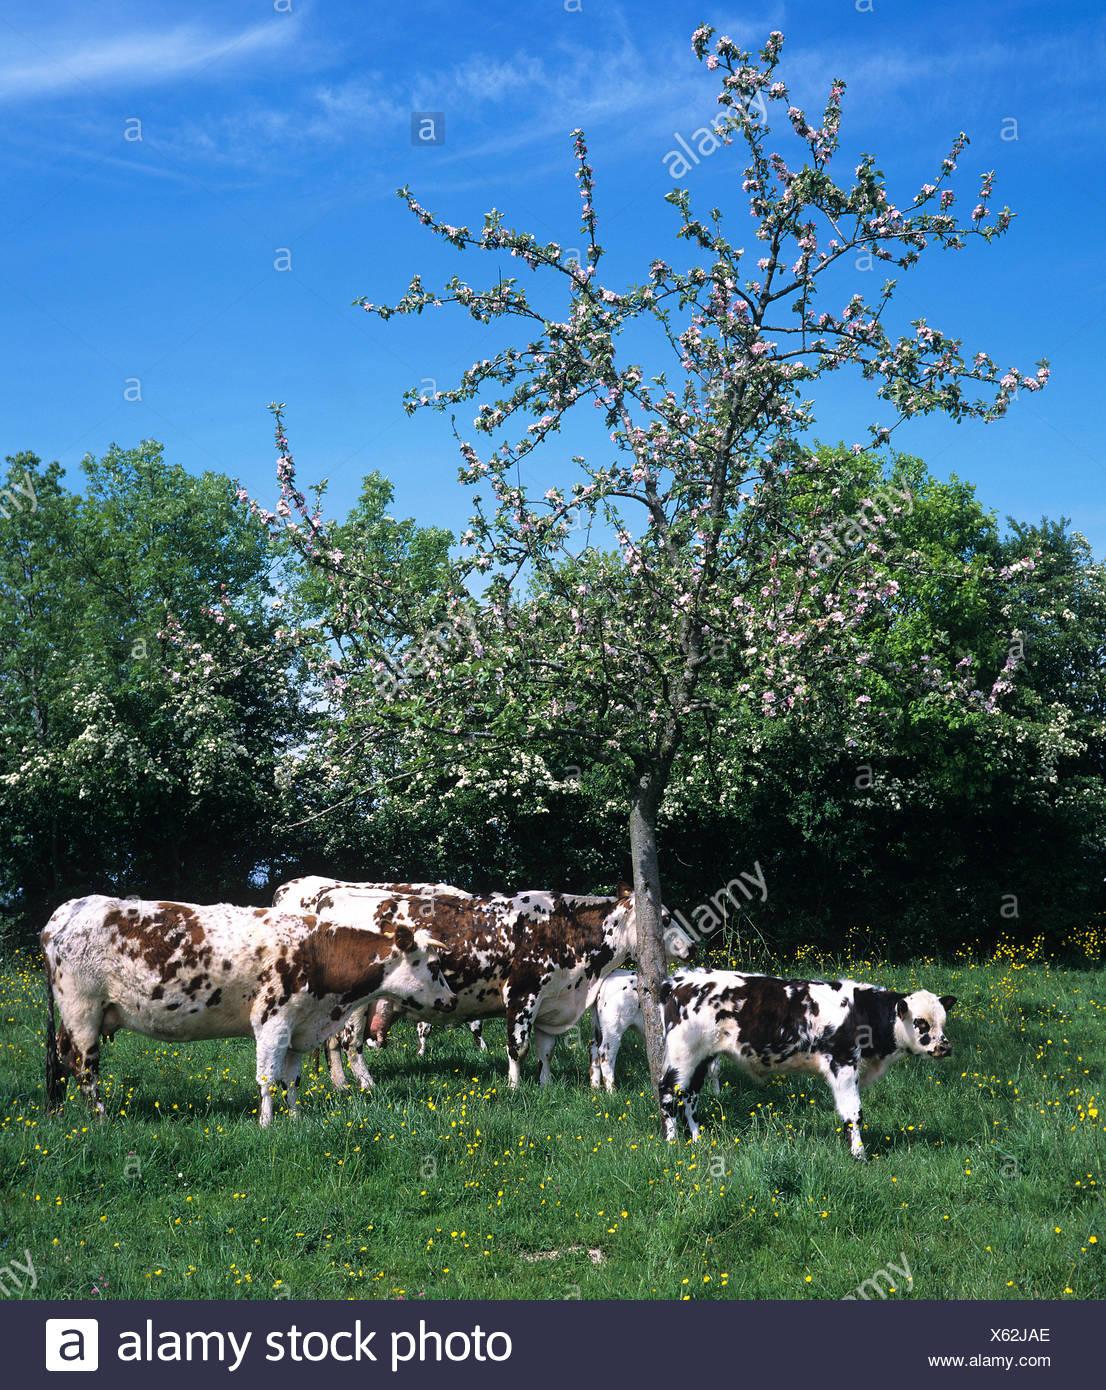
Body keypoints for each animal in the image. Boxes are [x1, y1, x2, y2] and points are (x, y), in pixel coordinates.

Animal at [40, 895, 454, 1126]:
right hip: (82, 1012)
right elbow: (267, 1078)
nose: (450, 1001)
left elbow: (292, 1079)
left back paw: (56, 1113)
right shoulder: (272, 1023)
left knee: (58, 1057)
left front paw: (297, 1119)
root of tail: (67, 911)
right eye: (434, 966)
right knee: (84, 1068)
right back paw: (100, 1120)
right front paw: (267, 1125)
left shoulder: (299, 1029)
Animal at [273, 878, 692, 1087]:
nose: (691, 946)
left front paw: (544, 1085)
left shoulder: (553, 999)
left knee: (334, 1044)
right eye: (665, 918)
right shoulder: (523, 994)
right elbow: (518, 1048)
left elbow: (545, 1050)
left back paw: (344, 1085)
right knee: (347, 1044)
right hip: (357, 1006)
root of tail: (330, 895)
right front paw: (514, 1089)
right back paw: (364, 1085)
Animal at [589, 969, 719, 1096]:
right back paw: (612, 1092)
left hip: (598, 1027)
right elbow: (713, 1068)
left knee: (593, 1048)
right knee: (606, 1053)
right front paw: (716, 1093)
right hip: (614, 1027)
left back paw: (595, 1087)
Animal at [658, 970, 956, 1159]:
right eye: (920, 1022)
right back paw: (672, 1142)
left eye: (942, 1021)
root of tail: (679, 979)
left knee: (690, 1097)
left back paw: (697, 1139)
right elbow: (854, 1113)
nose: (945, 1047)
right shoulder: (843, 1063)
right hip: (683, 1055)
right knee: (668, 1093)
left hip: (702, 1058)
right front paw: (859, 1155)